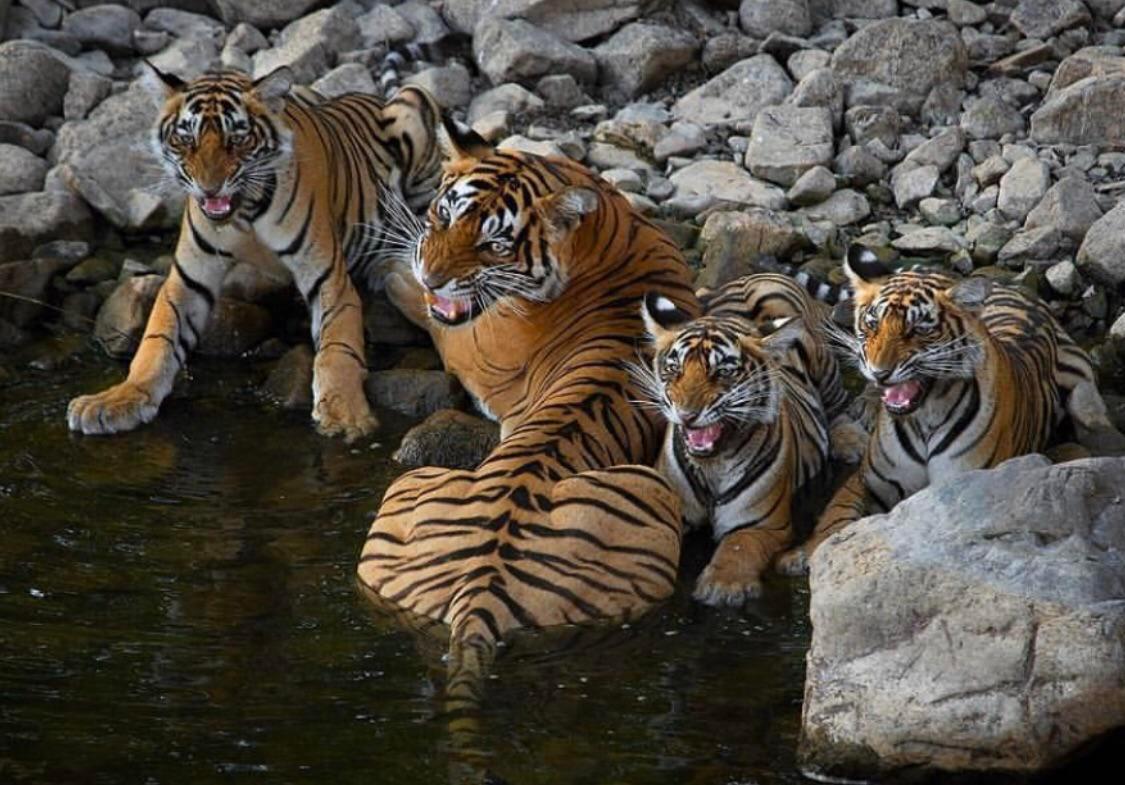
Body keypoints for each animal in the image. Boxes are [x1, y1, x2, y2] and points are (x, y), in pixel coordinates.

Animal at [66, 65, 445, 442]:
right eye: (186, 139)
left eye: (238, 139)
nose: (209, 189)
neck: (244, 212)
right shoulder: (187, 281)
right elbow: (157, 340)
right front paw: (116, 400)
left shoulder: (329, 280)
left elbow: (338, 348)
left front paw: (345, 415)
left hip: (411, 106)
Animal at [356, 124, 699, 668]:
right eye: (443, 215)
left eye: (494, 245)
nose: (432, 276)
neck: (611, 228)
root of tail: (482, 592)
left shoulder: (472, 344)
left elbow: (434, 317)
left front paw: (393, 277)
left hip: (414, 480)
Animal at [635, 273, 866, 606]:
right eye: (673, 369)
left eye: (722, 372)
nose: (686, 414)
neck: (712, 464)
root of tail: (752, 279)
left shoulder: (762, 523)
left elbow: (739, 547)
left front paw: (723, 586)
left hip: (821, 360)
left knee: (839, 406)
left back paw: (850, 441)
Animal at [777, 245, 1125, 574]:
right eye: (872, 323)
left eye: (919, 329)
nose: (879, 372)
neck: (923, 418)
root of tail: (1013, 287)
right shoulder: (867, 480)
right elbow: (833, 517)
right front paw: (804, 553)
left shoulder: (961, 491)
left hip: (1081, 383)